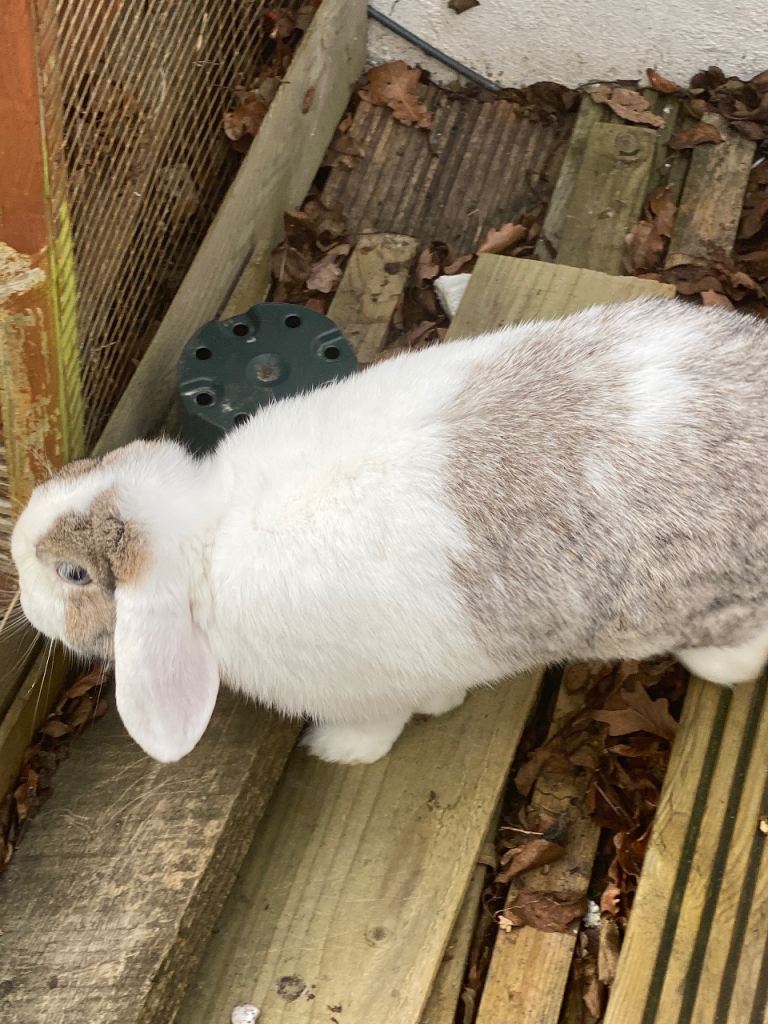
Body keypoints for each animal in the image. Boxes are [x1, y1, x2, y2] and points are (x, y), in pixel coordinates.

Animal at [11, 297, 768, 766]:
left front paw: (336, 751)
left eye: (75, 574)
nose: (16, 559)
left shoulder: (363, 690)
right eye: (96, 465)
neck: (206, 531)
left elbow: (381, 724)